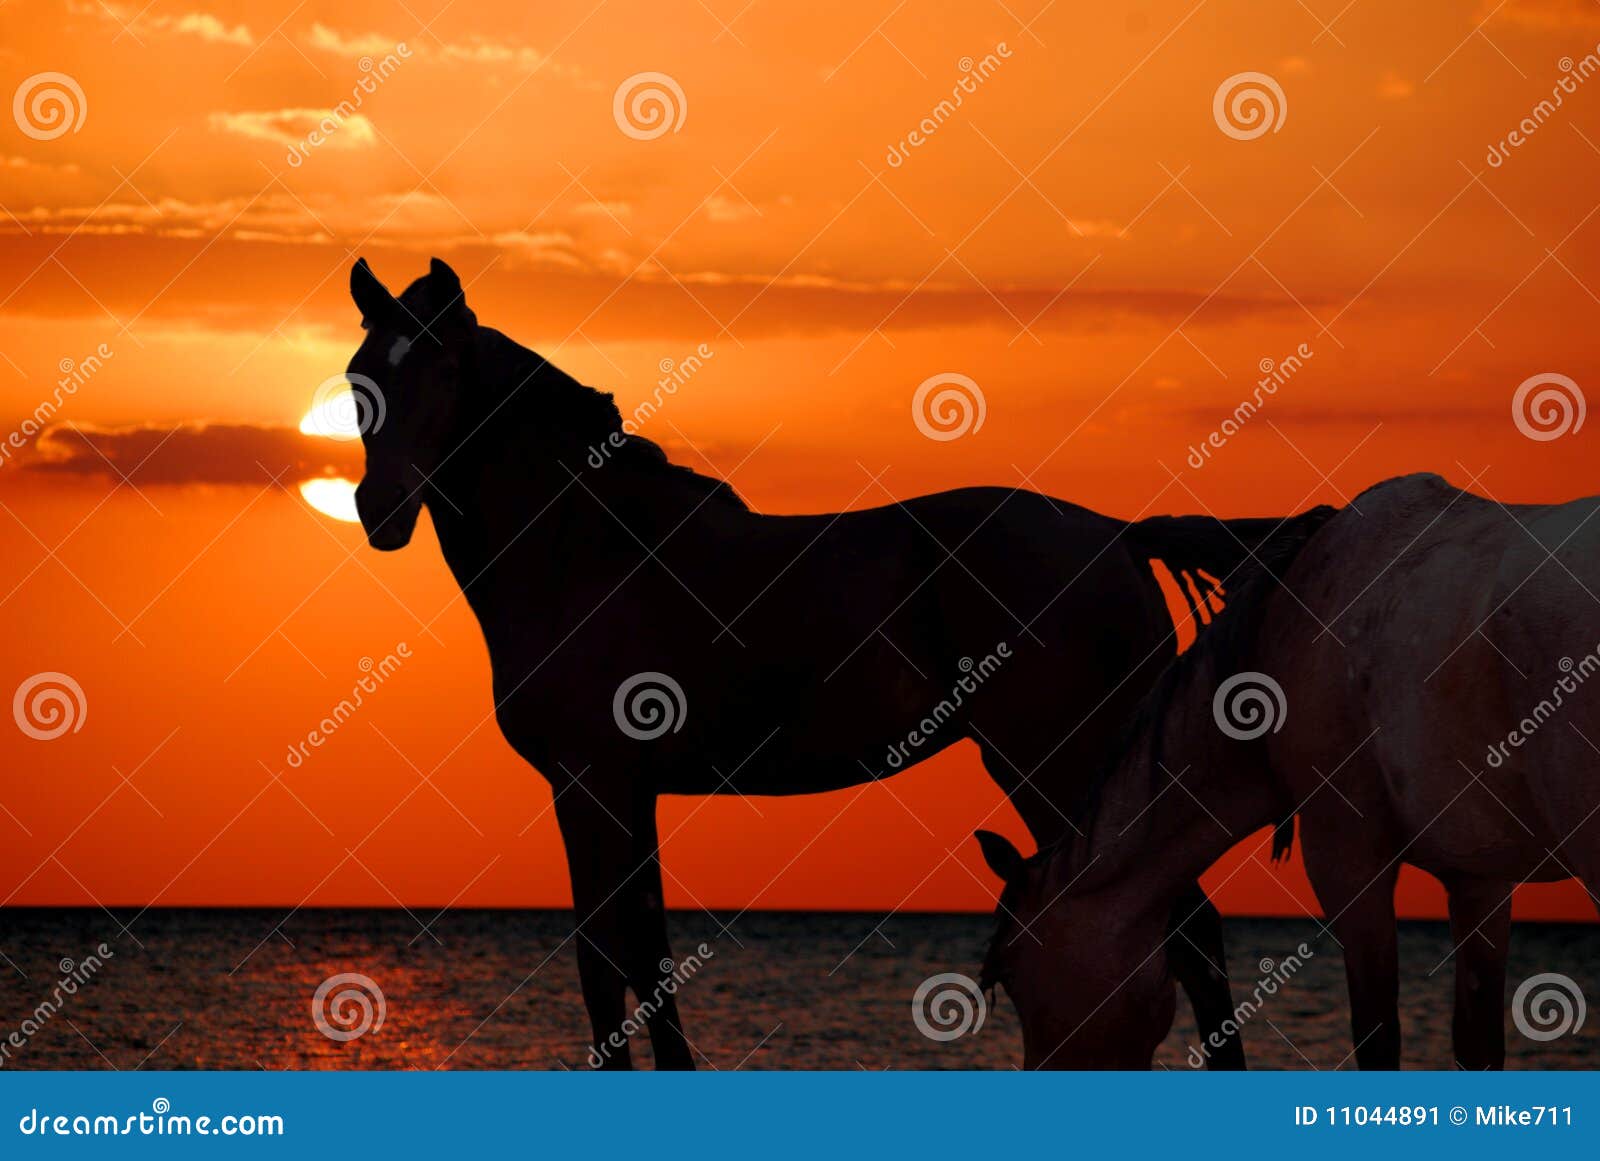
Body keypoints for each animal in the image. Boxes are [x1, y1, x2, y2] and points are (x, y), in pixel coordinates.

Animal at [343, 255, 1300, 1069]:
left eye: (439, 373)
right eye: (360, 381)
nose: (378, 509)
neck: (585, 549)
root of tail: (1118, 538)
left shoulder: (592, 785)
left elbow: (606, 961)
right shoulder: (627, 791)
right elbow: (642, 954)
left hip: (1059, 767)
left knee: (1190, 933)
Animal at [979, 472, 1600, 1069]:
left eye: (1009, 973)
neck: (1279, 635)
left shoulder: (1346, 864)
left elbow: (1377, 1041)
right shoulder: (1478, 880)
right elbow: (1477, 1047)